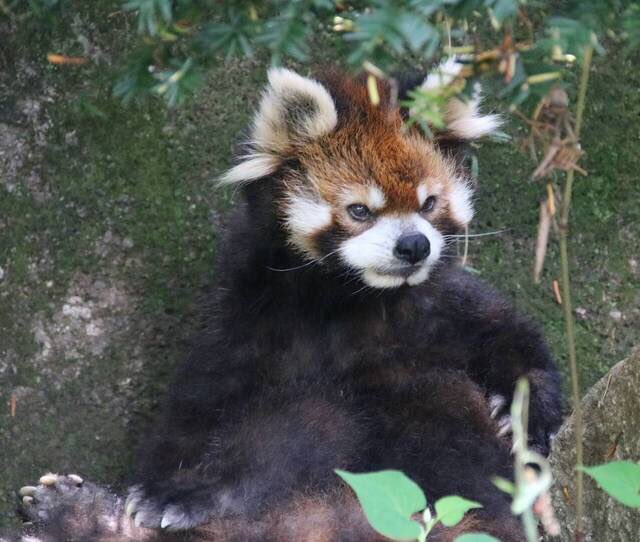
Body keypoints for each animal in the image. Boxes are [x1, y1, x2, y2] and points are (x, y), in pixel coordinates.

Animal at [15, 62, 563, 542]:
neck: (350, 300)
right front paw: (165, 491)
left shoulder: (435, 309)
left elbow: (510, 335)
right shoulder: (245, 318)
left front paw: (527, 417)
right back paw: (93, 517)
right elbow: (196, 410)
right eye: (360, 210)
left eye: (429, 203)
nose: (414, 246)